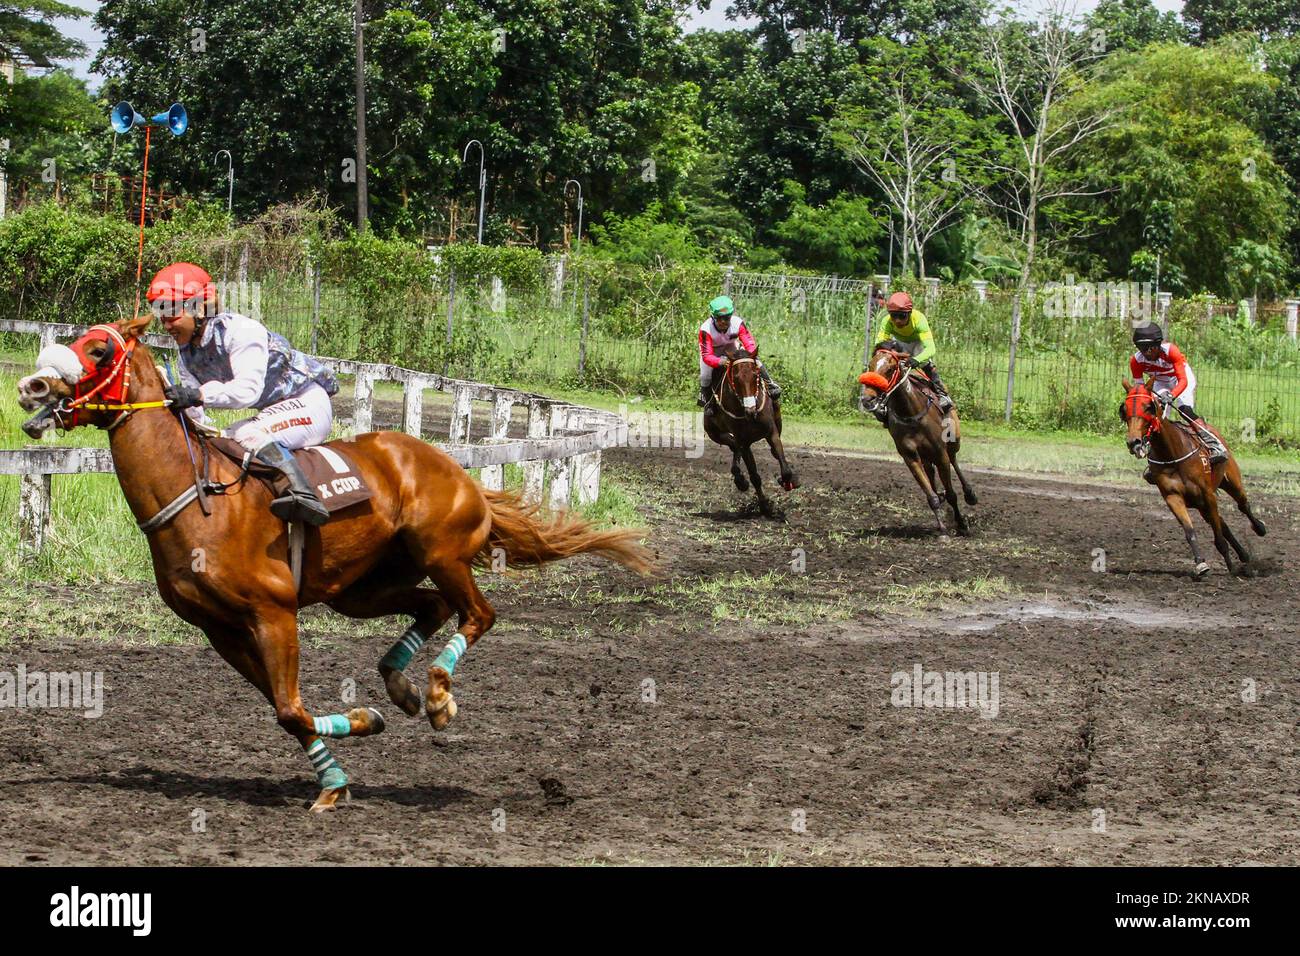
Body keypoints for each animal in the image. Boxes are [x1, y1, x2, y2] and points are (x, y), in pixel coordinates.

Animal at [17, 315, 653, 812]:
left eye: (99, 350)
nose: (31, 385)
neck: (198, 497)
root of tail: (457, 470)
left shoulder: (273, 612)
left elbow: (290, 709)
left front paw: (353, 741)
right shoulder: (220, 628)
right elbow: (285, 711)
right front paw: (346, 759)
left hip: (442, 552)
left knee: (478, 613)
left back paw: (439, 694)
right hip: (360, 590)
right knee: (433, 607)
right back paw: (400, 685)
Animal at [701, 343, 799, 517]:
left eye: (755, 375)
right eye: (736, 378)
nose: (751, 409)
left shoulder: (771, 433)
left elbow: (785, 469)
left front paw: (788, 482)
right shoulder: (744, 442)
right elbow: (754, 476)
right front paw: (764, 506)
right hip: (714, 433)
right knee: (733, 446)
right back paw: (740, 479)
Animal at [858, 342, 977, 536]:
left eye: (890, 369)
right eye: (870, 366)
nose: (868, 399)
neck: (910, 412)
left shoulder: (940, 453)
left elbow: (952, 494)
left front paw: (961, 524)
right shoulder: (910, 456)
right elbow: (930, 496)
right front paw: (942, 528)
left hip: (953, 441)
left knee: (954, 460)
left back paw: (970, 494)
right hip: (926, 455)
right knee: (930, 472)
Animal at [1120, 378, 1265, 578]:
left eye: (1149, 407)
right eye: (1124, 409)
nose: (1133, 442)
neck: (1172, 455)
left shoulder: (1208, 494)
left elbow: (1218, 536)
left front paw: (1230, 566)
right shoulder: (1173, 497)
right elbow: (1190, 531)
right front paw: (1201, 564)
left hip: (1231, 483)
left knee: (1243, 505)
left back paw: (1259, 528)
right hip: (1200, 504)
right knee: (1222, 523)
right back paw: (1243, 555)